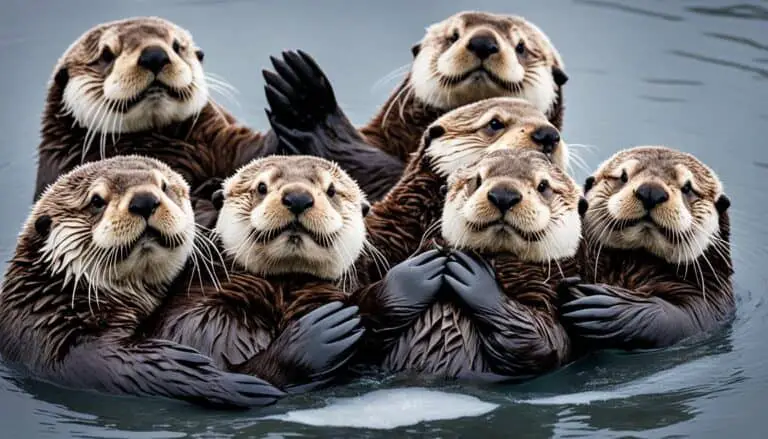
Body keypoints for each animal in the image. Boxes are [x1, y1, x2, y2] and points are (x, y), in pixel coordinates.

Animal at [0, 155, 285, 408]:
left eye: (164, 186)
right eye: (96, 200)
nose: (145, 200)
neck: (57, 295)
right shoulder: (50, 337)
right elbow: (116, 365)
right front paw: (233, 384)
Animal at [352, 148, 583, 379]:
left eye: (543, 186)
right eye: (477, 180)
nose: (503, 195)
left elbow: (545, 341)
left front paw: (476, 279)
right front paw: (414, 277)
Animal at [559, 146, 734, 350]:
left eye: (688, 187)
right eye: (623, 176)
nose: (651, 191)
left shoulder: (710, 299)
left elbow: (679, 319)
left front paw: (602, 306)